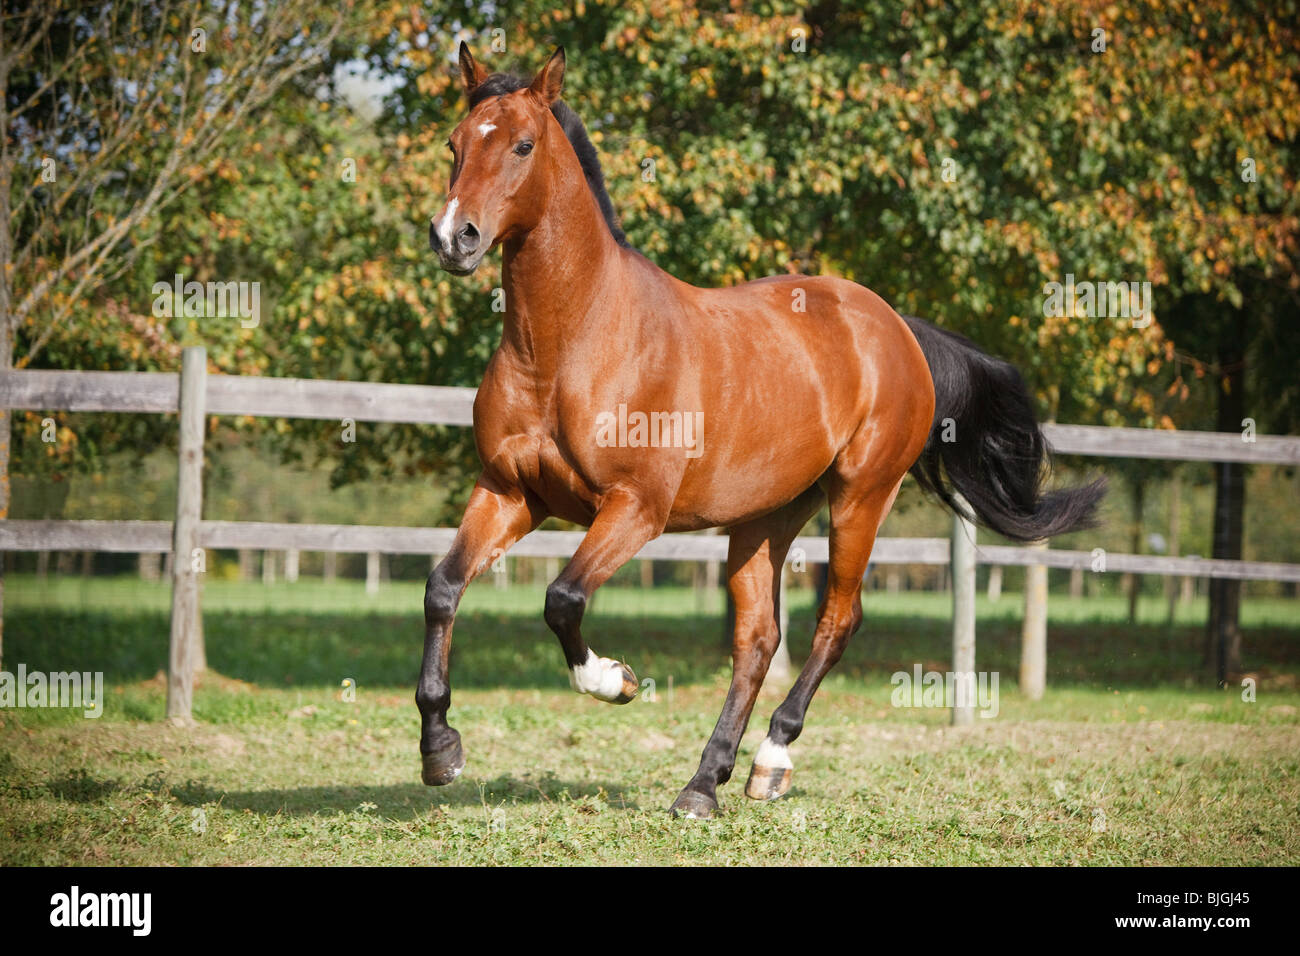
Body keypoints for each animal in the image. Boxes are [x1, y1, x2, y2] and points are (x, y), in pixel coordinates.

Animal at [420, 43, 1105, 818]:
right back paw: (705, 783)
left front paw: (616, 680)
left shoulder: (635, 509)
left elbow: (562, 599)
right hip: (765, 518)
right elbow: (443, 588)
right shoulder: (510, 493)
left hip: (861, 495)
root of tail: (897, 327)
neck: (570, 344)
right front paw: (441, 751)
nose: (454, 237)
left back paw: (770, 760)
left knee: (836, 621)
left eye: (522, 145)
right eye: (454, 143)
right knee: (757, 639)